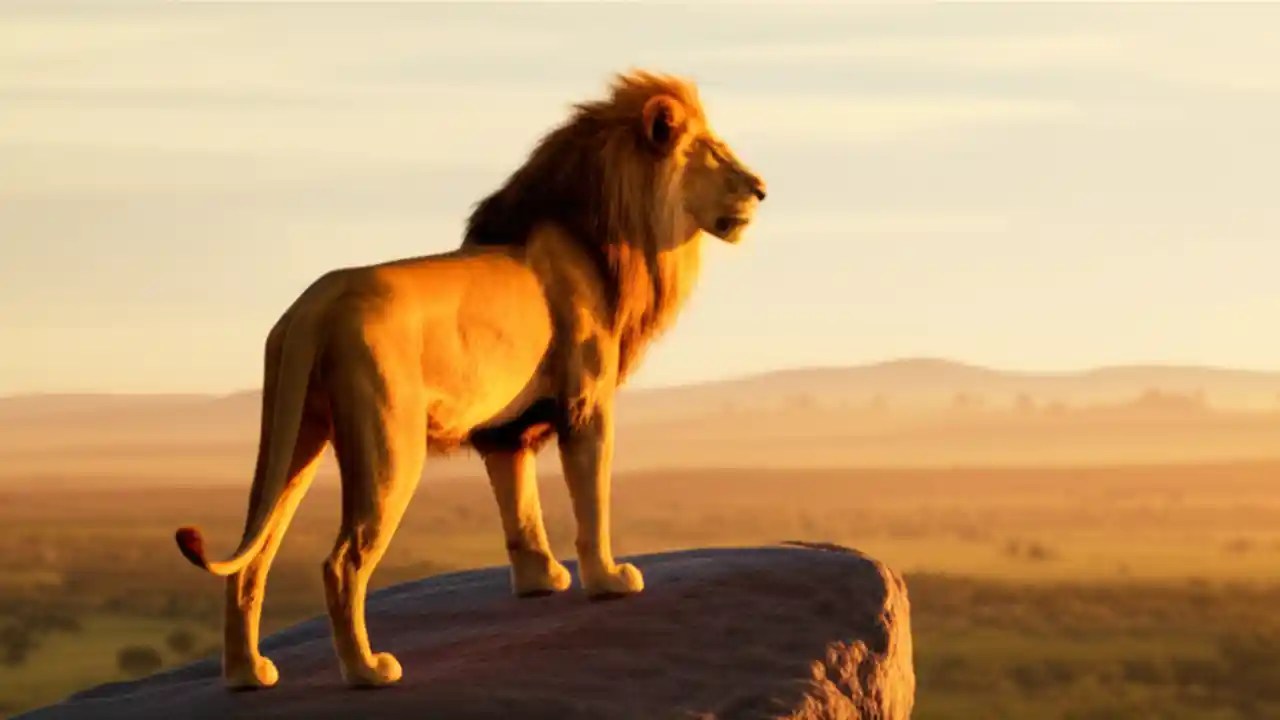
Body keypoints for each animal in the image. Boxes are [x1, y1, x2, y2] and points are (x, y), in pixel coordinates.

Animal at [173, 70, 767, 690]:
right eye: (714, 150)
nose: (762, 190)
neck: (605, 231)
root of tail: (315, 303)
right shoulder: (587, 401)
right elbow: (591, 499)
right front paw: (607, 580)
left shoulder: (507, 431)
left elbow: (520, 508)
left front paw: (540, 580)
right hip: (389, 446)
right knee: (342, 562)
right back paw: (368, 670)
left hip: (292, 436)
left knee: (252, 559)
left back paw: (247, 673)